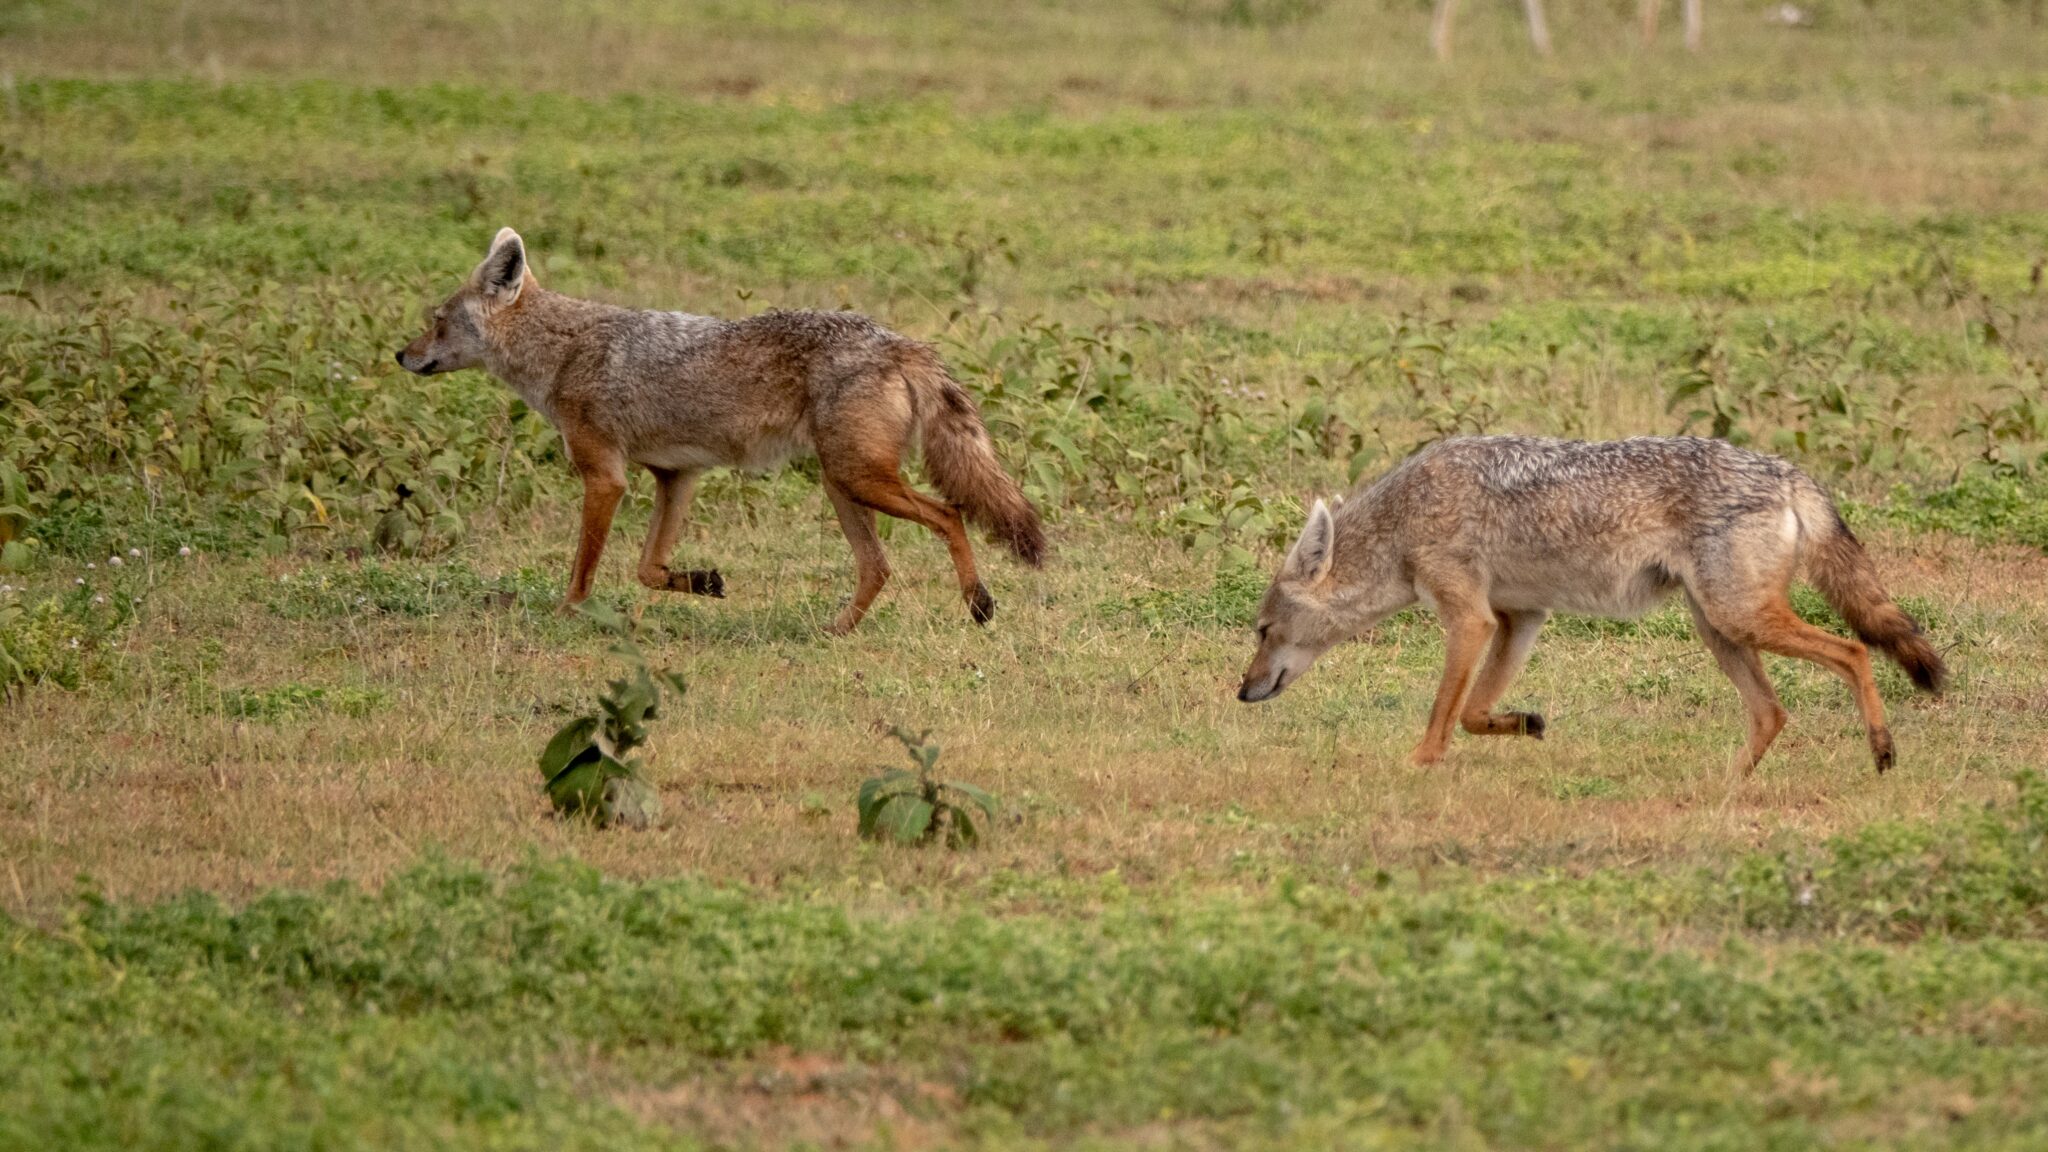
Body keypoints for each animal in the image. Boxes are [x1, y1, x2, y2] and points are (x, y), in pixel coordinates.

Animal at [395, 228, 1045, 632]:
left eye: (436, 321)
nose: (401, 355)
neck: (562, 352)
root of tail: (903, 342)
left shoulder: (605, 477)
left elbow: (584, 570)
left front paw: (566, 616)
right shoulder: (678, 475)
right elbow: (648, 570)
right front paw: (704, 582)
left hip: (860, 480)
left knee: (949, 514)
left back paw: (979, 604)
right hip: (841, 484)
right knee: (879, 567)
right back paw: (833, 631)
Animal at [1235, 435, 1946, 773]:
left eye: (1263, 630)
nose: (1241, 691)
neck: (1403, 520)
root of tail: (1788, 471)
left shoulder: (1470, 619)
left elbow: (1444, 715)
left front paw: (1416, 766)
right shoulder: (1520, 618)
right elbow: (1473, 713)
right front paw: (1525, 724)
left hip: (1740, 620)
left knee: (1853, 650)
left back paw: (1882, 750)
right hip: (1719, 629)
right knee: (1773, 714)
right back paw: (1720, 787)